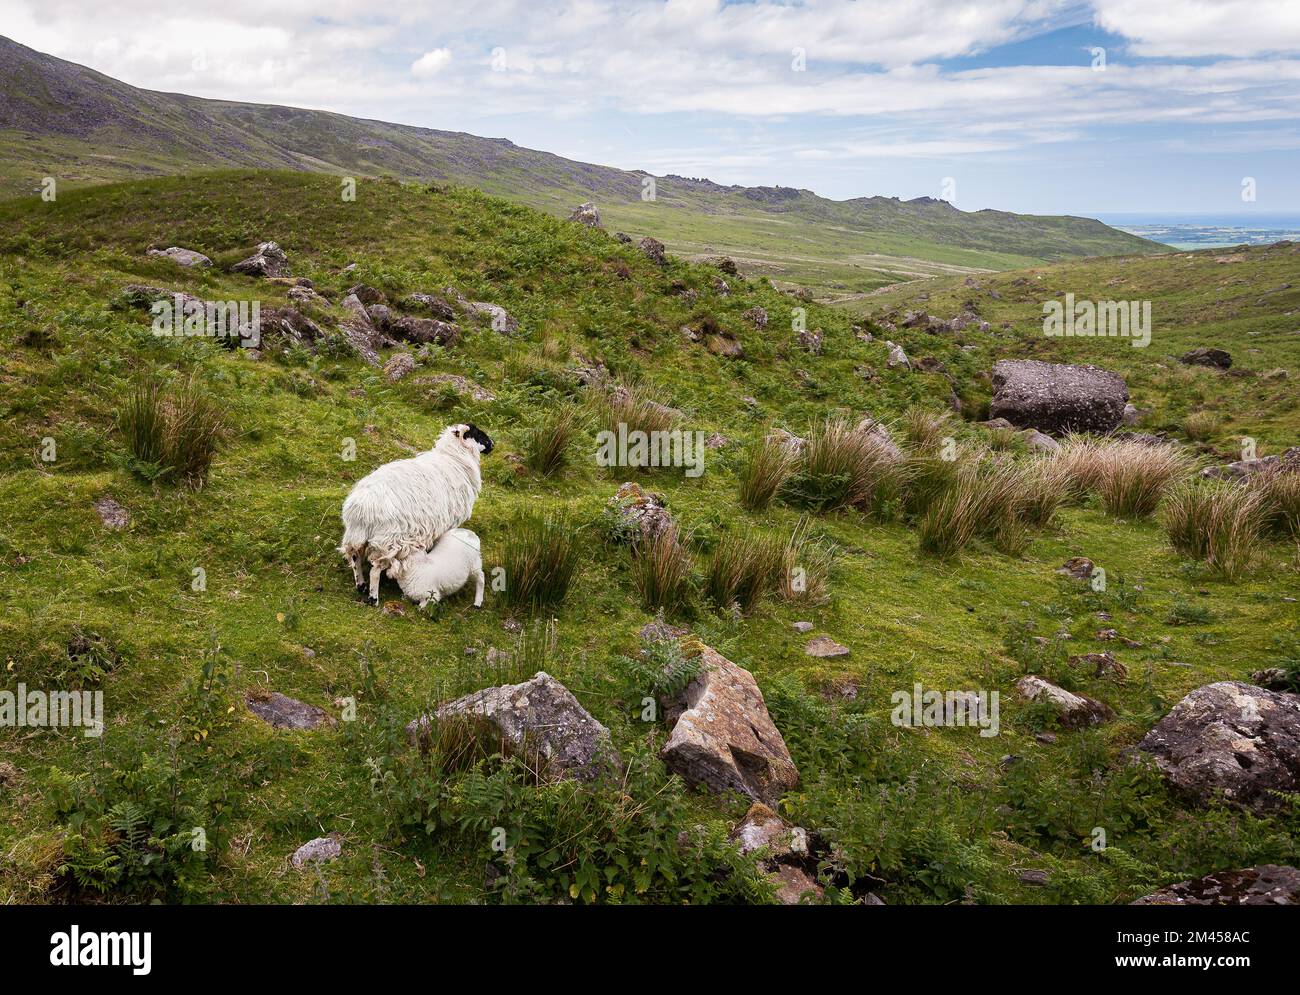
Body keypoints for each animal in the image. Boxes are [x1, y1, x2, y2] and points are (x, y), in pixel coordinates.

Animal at [339, 423, 493, 605]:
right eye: (478, 433)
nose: (492, 444)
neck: (454, 458)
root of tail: (361, 508)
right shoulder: (449, 523)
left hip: (358, 537)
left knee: (355, 558)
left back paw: (361, 585)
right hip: (390, 541)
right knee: (375, 570)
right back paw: (373, 598)